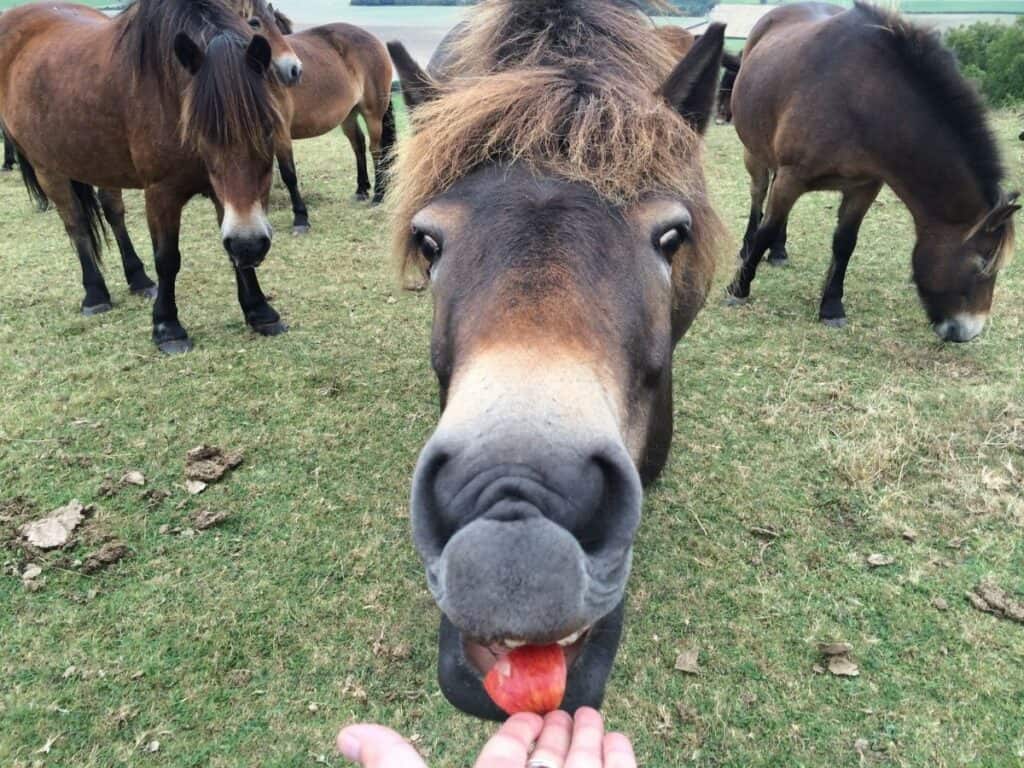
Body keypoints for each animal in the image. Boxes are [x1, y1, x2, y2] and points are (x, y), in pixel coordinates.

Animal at [0, 0, 299, 353]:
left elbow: (233, 255)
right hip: (49, 169)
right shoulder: (161, 193)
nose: (293, 69)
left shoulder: (223, 195)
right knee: (76, 225)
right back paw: (95, 294)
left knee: (113, 212)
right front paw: (167, 327)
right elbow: (167, 258)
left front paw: (260, 311)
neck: (168, 90)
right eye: (200, 134)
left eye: (267, 129)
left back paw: (138, 279)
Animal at [269, 7, 396, 230]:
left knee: (375, 149)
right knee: (358, 144)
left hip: (372, 114)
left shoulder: (279, 131)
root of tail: (375, 40)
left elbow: (288, 173)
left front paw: (300, 219)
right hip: (349, 114)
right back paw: (361, 190)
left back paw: (378, 195)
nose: (293, 71)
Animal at [726, 2, 1019, 342]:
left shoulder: (865, 186)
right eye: (982, 264)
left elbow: (844, 243)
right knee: (759, 196)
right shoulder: (792, 177)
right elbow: (766, 228)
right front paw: (738, 287)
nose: (967, 333)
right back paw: (747, 247)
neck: (862, 101)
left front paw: (831, 307)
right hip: (755, 153)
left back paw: (778, 252)